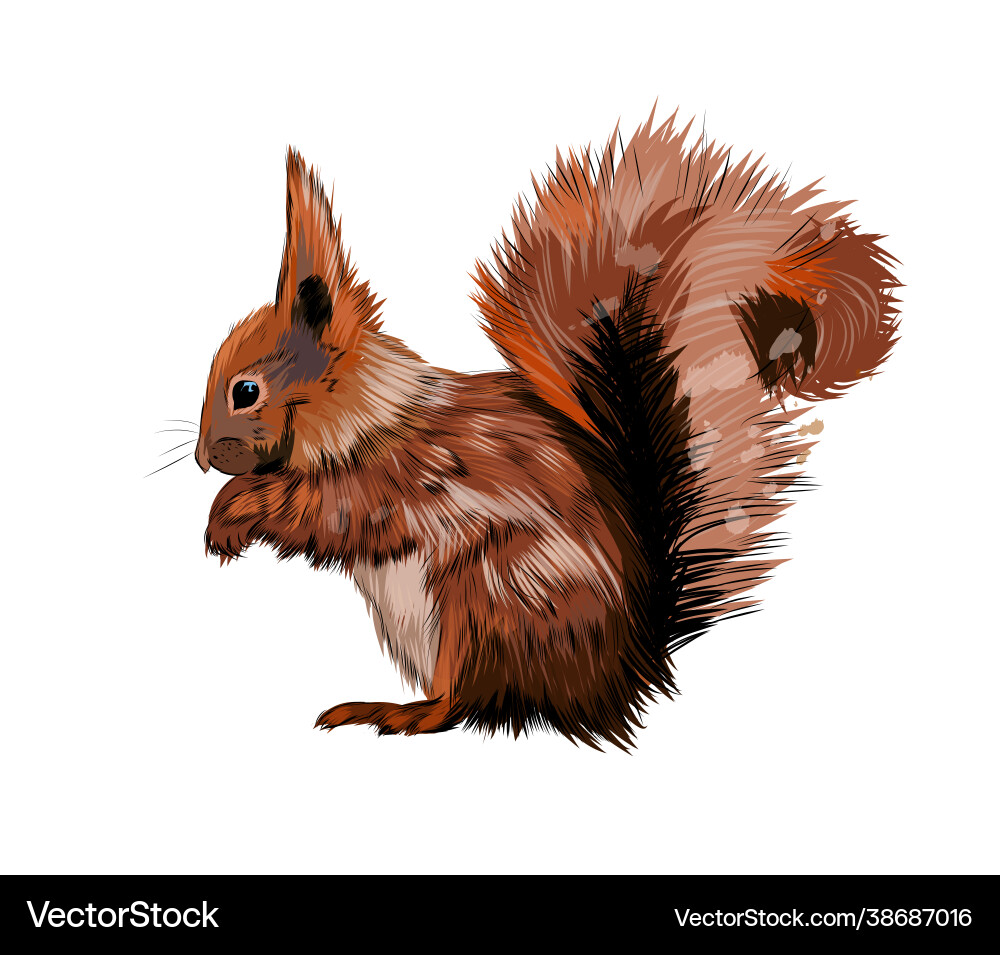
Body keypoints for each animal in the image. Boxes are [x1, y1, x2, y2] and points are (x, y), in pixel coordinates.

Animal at [197, 109, 899, 750]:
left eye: (245, 391)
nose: (204, 458)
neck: (362, 412)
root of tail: (633, 670)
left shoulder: (393, 476)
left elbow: (327, 512)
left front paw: (231, 512)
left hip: (486, 606)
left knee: (468, 701)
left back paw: (399, 713)